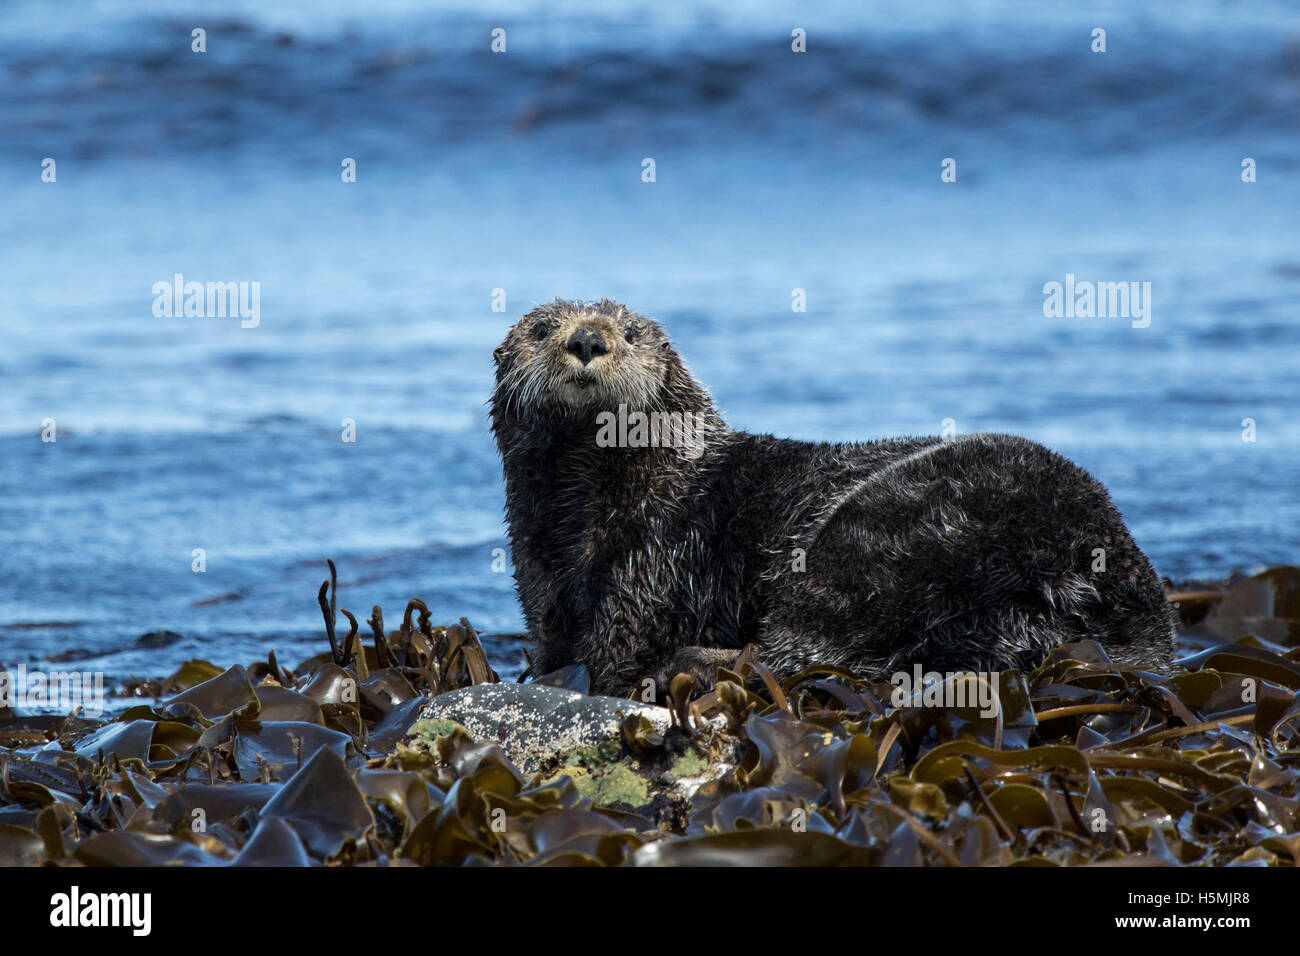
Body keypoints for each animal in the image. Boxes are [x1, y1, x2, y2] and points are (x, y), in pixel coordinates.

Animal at [491, 299, 1176, 696]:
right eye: (541, 329)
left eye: (631, 332)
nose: (588, 340)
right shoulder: (536, 562)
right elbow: (550, 629)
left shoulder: (657, 548)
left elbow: (623, 634)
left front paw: (599, 673)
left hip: (879, 537)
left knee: (794, 651)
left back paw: (693, 663)